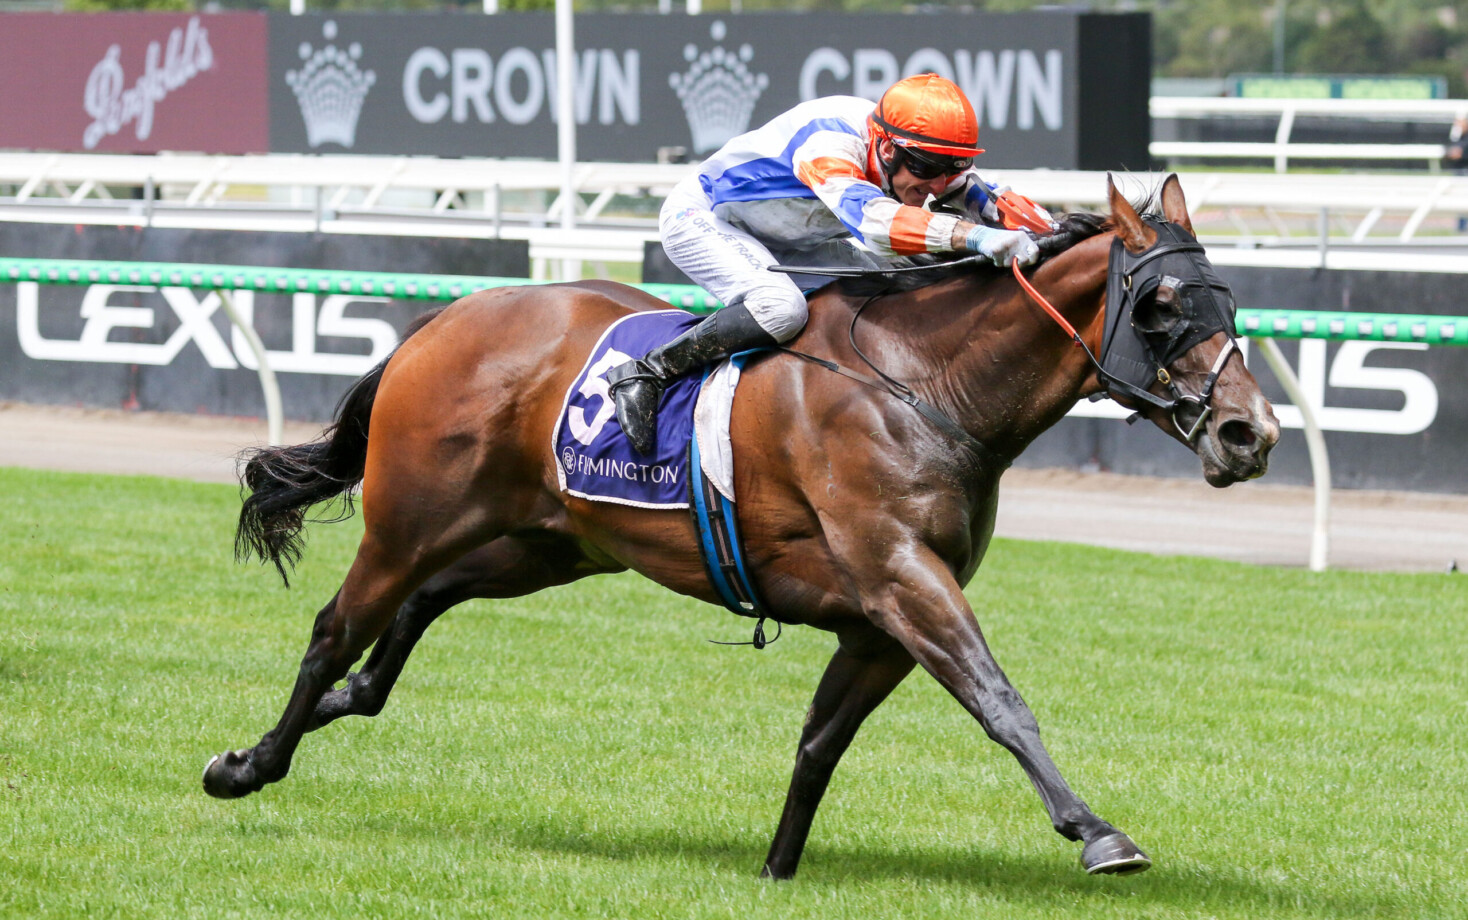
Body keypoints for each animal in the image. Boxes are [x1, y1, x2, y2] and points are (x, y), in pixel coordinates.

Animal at [204, 175, 1280, 880]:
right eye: (1162, 304)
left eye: (1228, 297)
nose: (1251, 432)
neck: (924, 383)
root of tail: (443, 320)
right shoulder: (901, 576)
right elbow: (1000, 701)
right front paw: (1097, 831)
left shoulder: (878, 622)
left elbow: (819, 744)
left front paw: (775, 869)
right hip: (411, 517)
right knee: (335, 625)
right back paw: (249, 762)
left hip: (550, 540)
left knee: (421, 604)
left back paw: (347, 699)